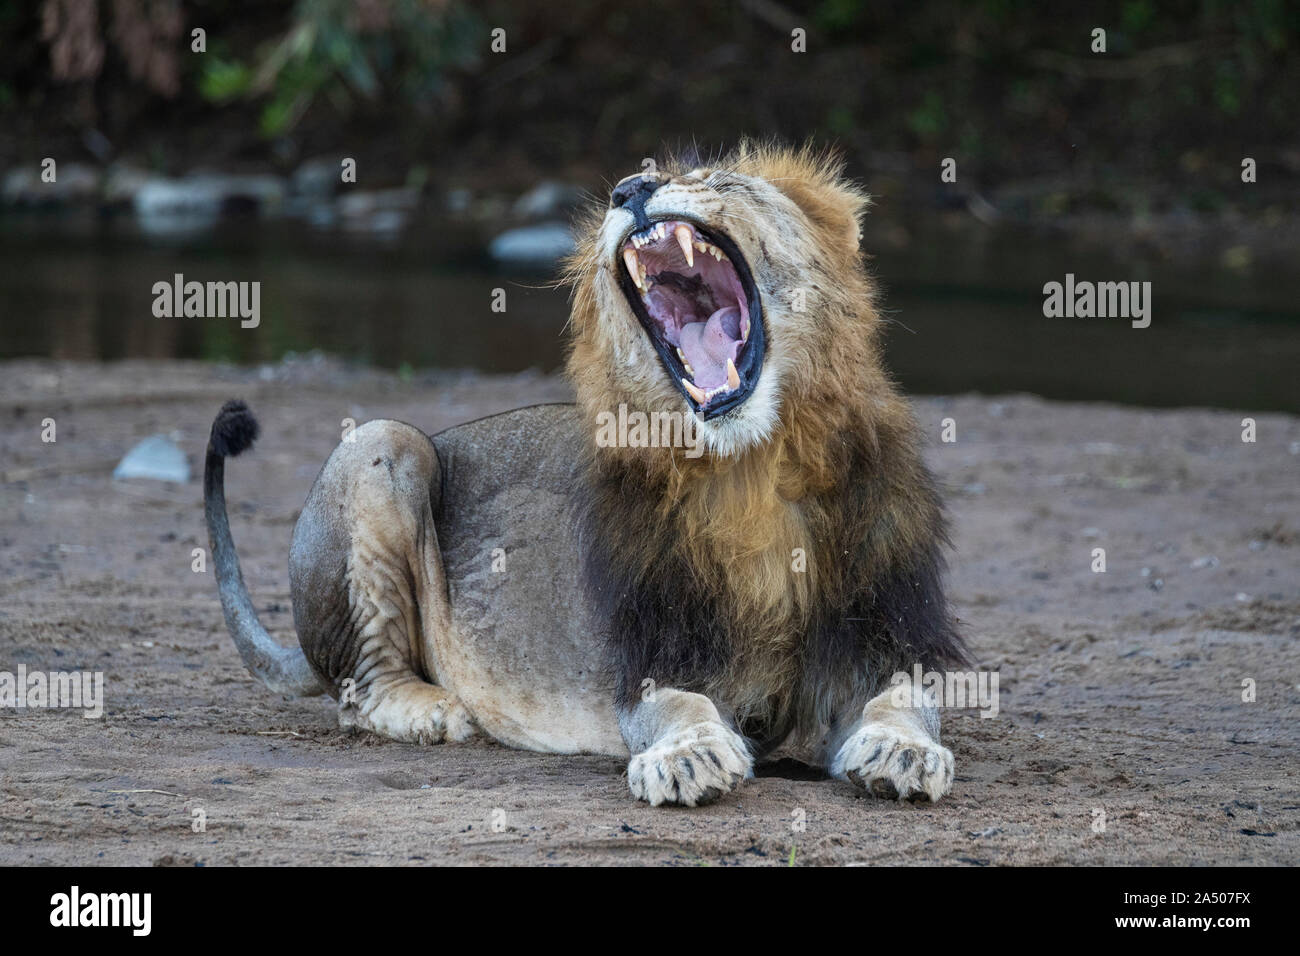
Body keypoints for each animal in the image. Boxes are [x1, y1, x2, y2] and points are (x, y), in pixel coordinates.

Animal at [205, 141, 967, 806]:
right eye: (625, 188)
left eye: (717, 177)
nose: (629, 190)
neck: (753, 469)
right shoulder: (651, 652)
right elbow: (679, 704)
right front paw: (686, 757)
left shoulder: (882, 635)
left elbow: (904, 699)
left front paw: (902, 751)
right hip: (381, 442)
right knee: (357, 691)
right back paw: (433, 711)